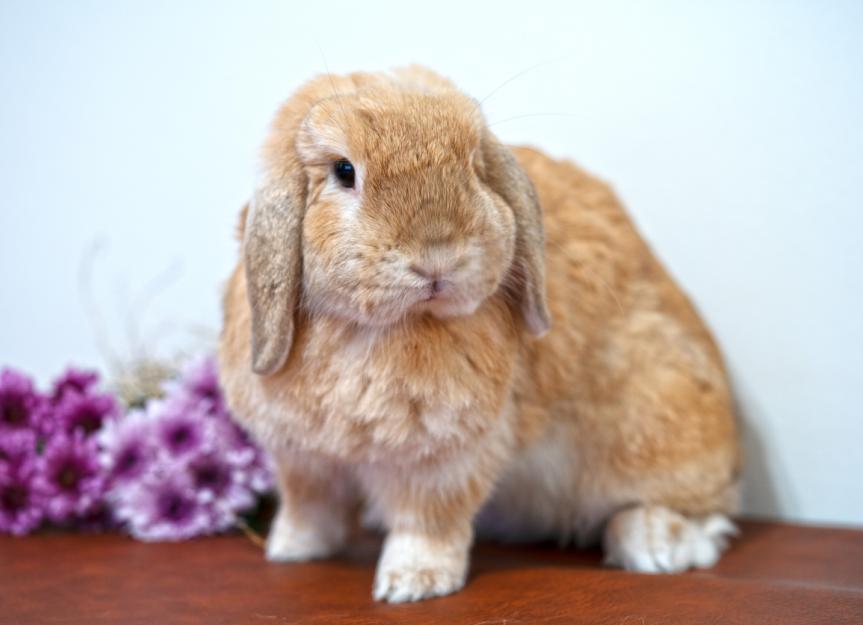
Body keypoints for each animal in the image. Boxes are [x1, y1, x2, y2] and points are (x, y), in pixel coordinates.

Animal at [218, 65, 741, 603]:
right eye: (345, 171)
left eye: (472, 165)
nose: (437, 255)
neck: (372, 330)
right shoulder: (303, 460)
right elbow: (311, 508)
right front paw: (290, 551)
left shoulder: (445, 460)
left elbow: (427, 523)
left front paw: (412, 584)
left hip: (658, 422)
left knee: (707, 516)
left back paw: (654, 544)